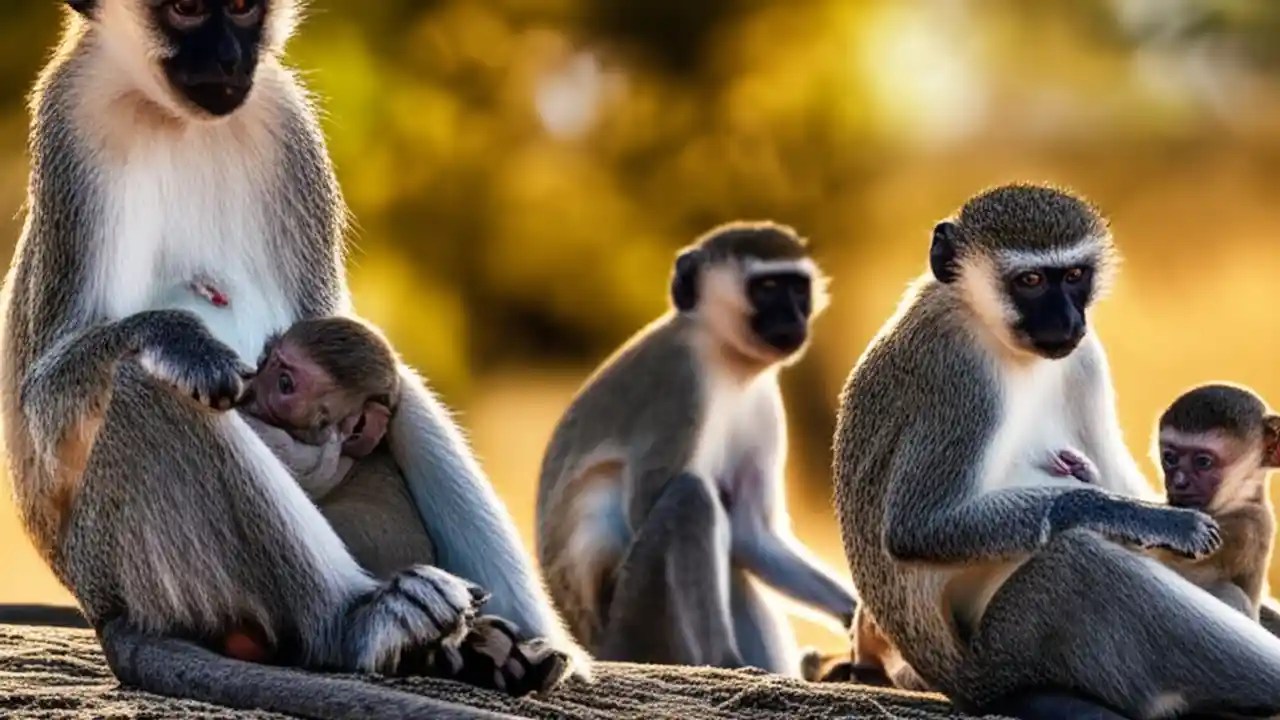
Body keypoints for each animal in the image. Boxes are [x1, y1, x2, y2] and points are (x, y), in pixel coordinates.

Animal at [0, 2, 583, 717]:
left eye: (242, 9)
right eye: (187, 10)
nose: (230, 58)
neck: (171, 117)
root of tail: (107, 611)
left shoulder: (283, 125)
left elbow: (338, 330)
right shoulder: (70, 131)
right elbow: (43, 408)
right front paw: (183, 340)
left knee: (396, 385)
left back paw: (510, 650)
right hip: (117, 557)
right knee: (144, 389)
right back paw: (356, 623)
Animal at [536, 221, 856, 676]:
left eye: (798, 289)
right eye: (767, 288)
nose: (795, 318)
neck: (726, 359)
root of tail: (595, 646)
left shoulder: (765, 406)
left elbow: (750, 532)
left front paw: (860, 617)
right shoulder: (679, 385)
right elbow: (652, 505)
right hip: (638, 626)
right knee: (691, 499)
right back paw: (725, 661)